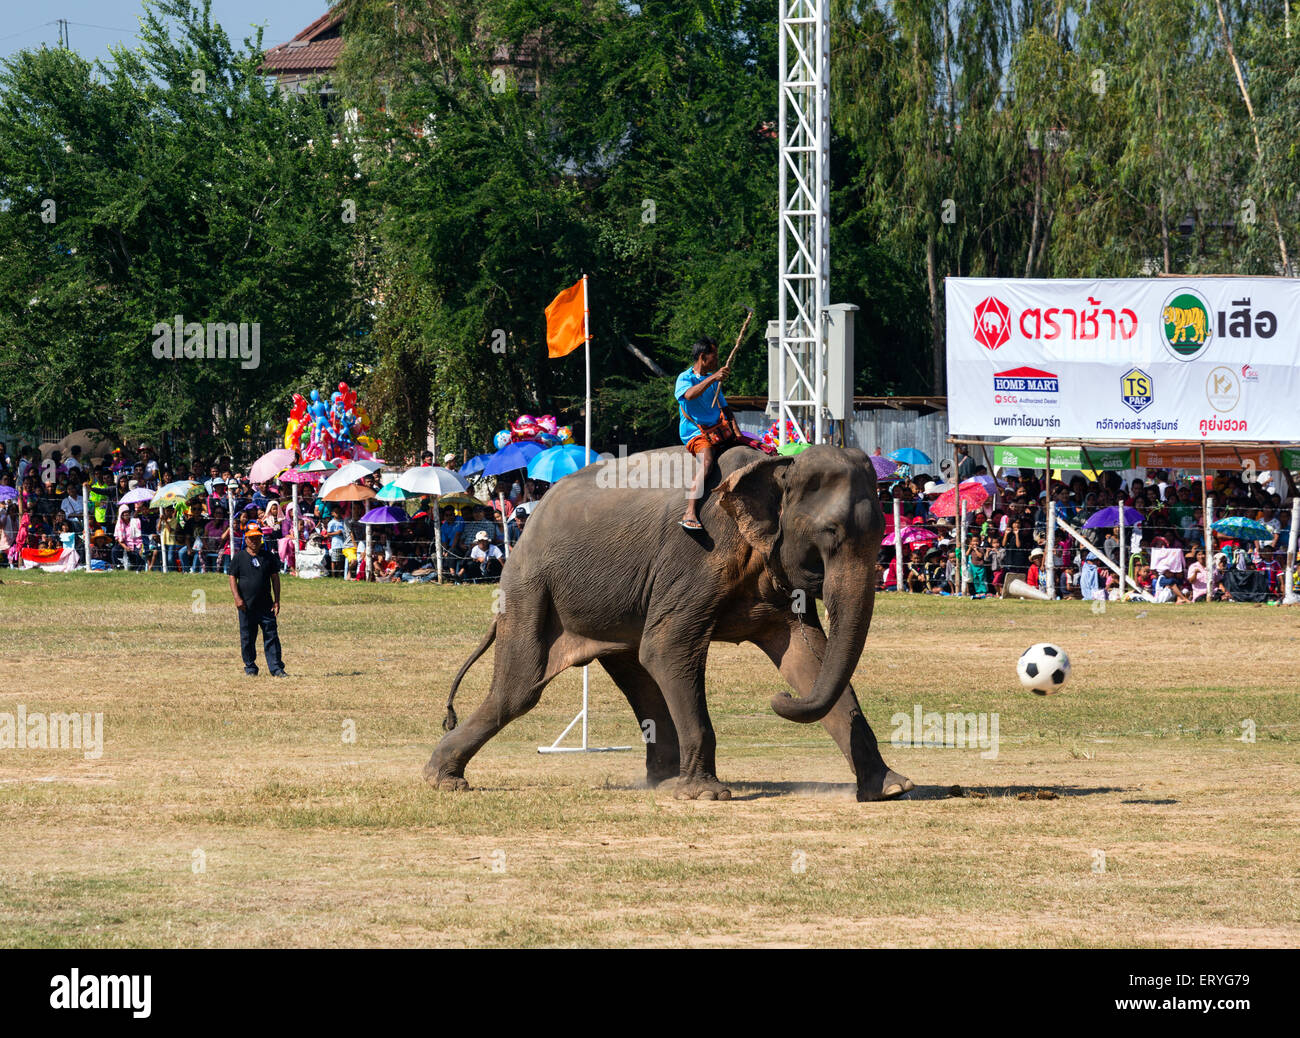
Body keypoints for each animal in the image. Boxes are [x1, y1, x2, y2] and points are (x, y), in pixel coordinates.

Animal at [424, 443, 914, 802]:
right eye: (830, 533)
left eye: (880, 534)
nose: (778, 699)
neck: (774, 465)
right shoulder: (696, 556)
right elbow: (669, 647)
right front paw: (707, 796)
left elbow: (807, 658)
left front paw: (891, 788)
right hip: (530, 589)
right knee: (520, 689)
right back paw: (442, 780)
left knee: (636, 673)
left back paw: (662, 781)